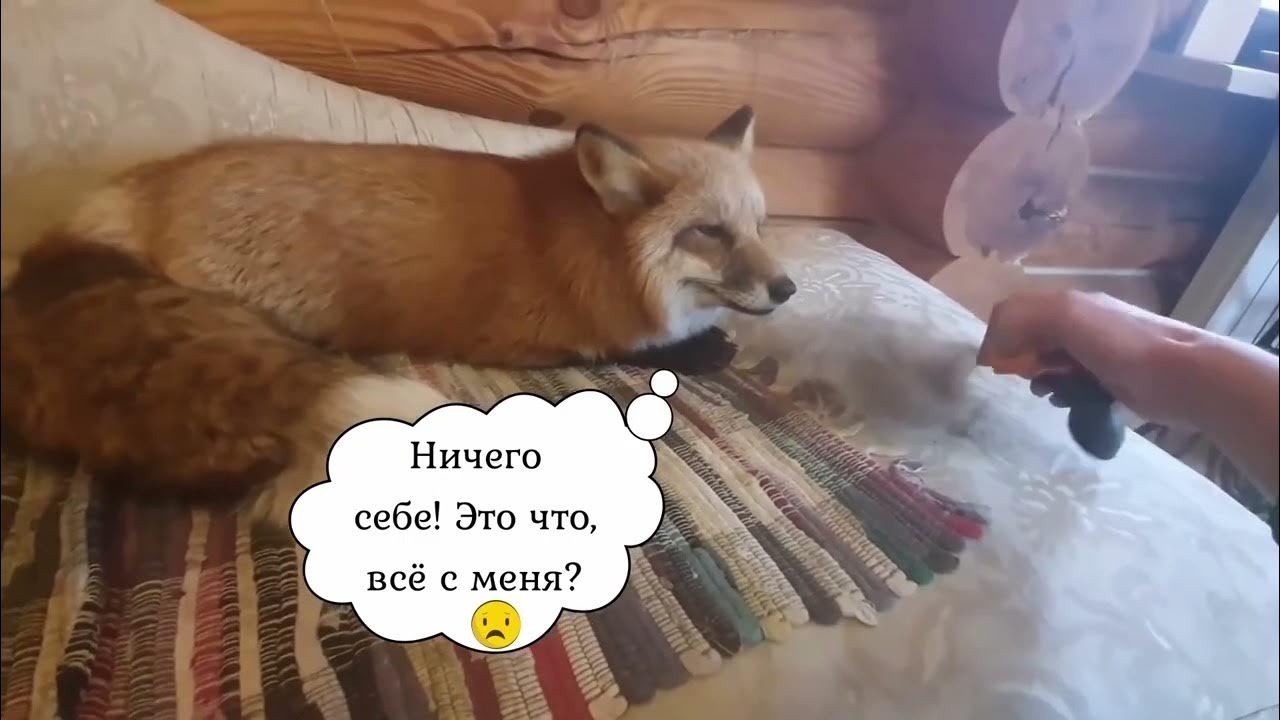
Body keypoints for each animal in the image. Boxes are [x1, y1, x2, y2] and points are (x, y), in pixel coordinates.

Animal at [63, 106, 796, 368]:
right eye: (710, 232)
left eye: (760, 227)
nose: (788, 289)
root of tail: (155, 179)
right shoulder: (519, 343)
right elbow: (618, 356)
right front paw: (698, 350)